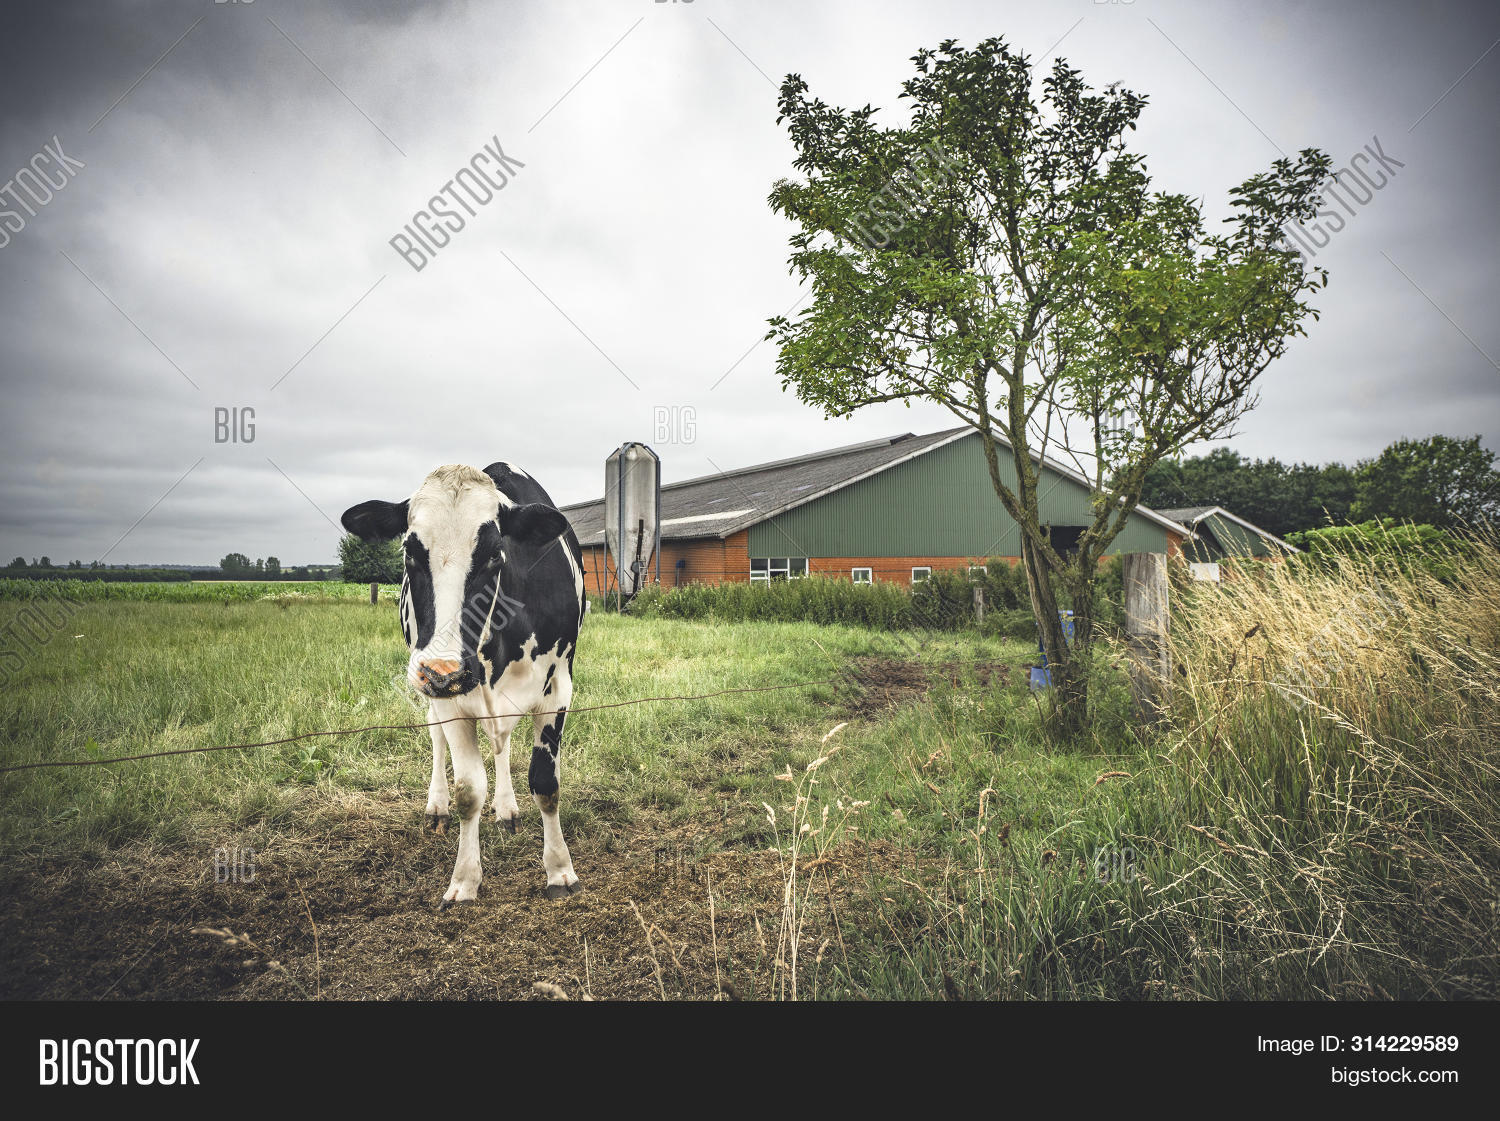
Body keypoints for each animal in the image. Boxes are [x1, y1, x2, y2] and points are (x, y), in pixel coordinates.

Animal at [341, 462, 587, 909]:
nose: (443, 669)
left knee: (502, 744)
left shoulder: (559, 687)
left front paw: (560, 870)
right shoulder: (451, 701)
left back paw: (507, 809)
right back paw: (436, 805)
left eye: (494, 555)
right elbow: (469, 792)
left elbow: (545, 783)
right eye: (410, 552)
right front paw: (465, 880)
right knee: (438, 738)